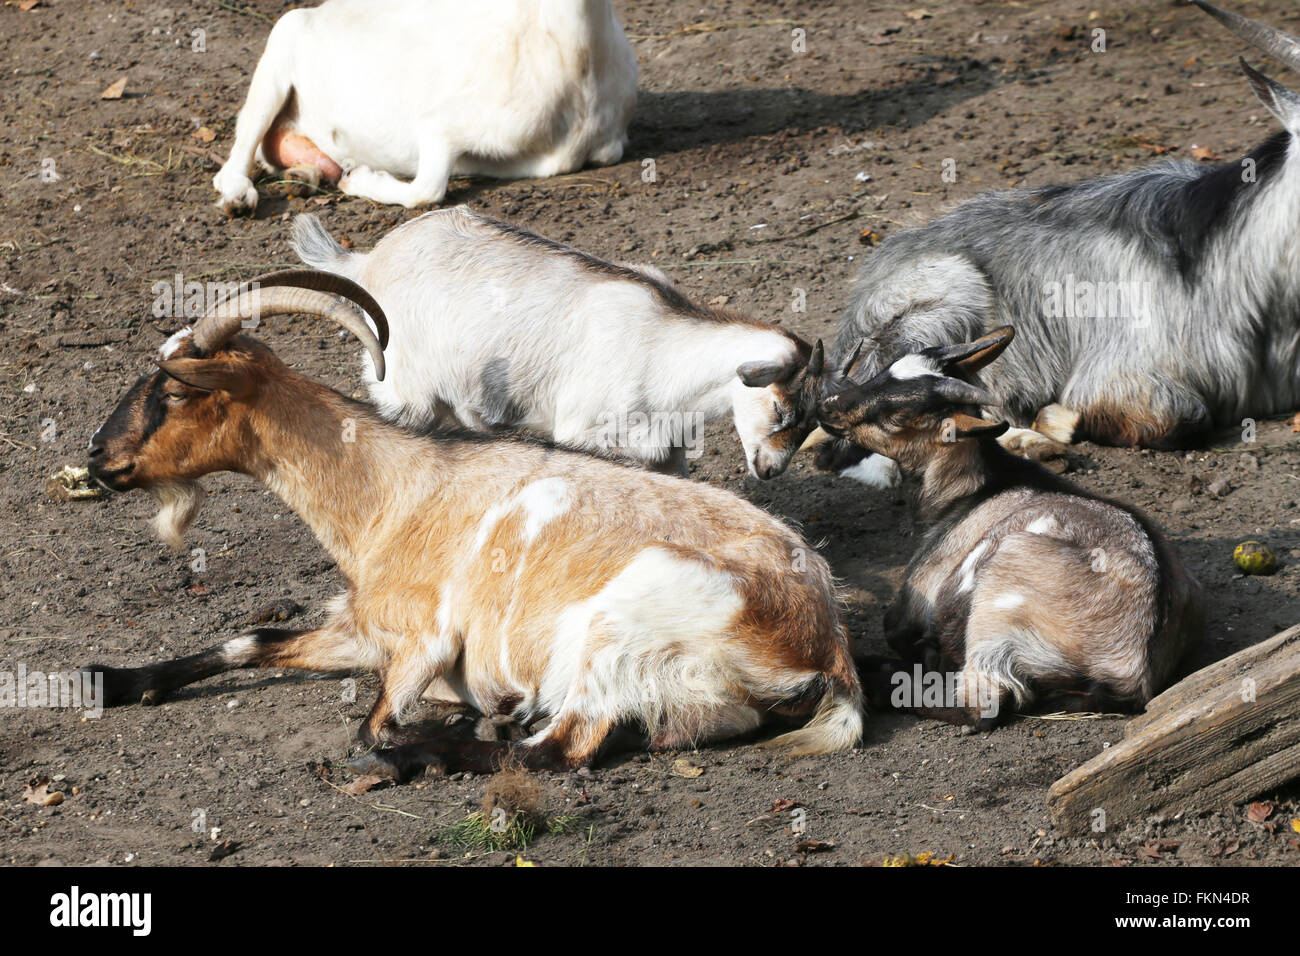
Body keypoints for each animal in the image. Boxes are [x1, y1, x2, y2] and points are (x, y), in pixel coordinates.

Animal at [81, 272, 863, 777]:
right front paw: (112, 680)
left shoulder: (423, 644)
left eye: (175, 391)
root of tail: (827, 650)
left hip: (616, 631)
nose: (96, 455)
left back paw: (425, 750)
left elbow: (369, 719)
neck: (398, 495)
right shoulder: (362, 628)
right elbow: (249, 640)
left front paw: (398, 740)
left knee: (562, 750)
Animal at [212, 0, 637, 215]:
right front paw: (361, 179)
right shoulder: (443, 126)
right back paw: (239, 198)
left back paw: (307, 174)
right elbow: (427, 191)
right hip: (279, 51)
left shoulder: (595, 149)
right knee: (239, 151)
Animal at [291, 207, 824, 478]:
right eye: (779, 409)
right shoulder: (583, 428)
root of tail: (365, 262)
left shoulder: (668, 442)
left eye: (811, 422)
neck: (666, 348)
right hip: (407, 390)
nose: (771, 469)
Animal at [817, 327, 1202, 727]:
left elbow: (894, 626)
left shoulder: (919, 595)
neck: (975, 489)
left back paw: (885, 676)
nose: (827, 405)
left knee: (983, 702)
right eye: (883, 373)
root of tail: (1132, 667)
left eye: (895, 415)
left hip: (1002, 586)